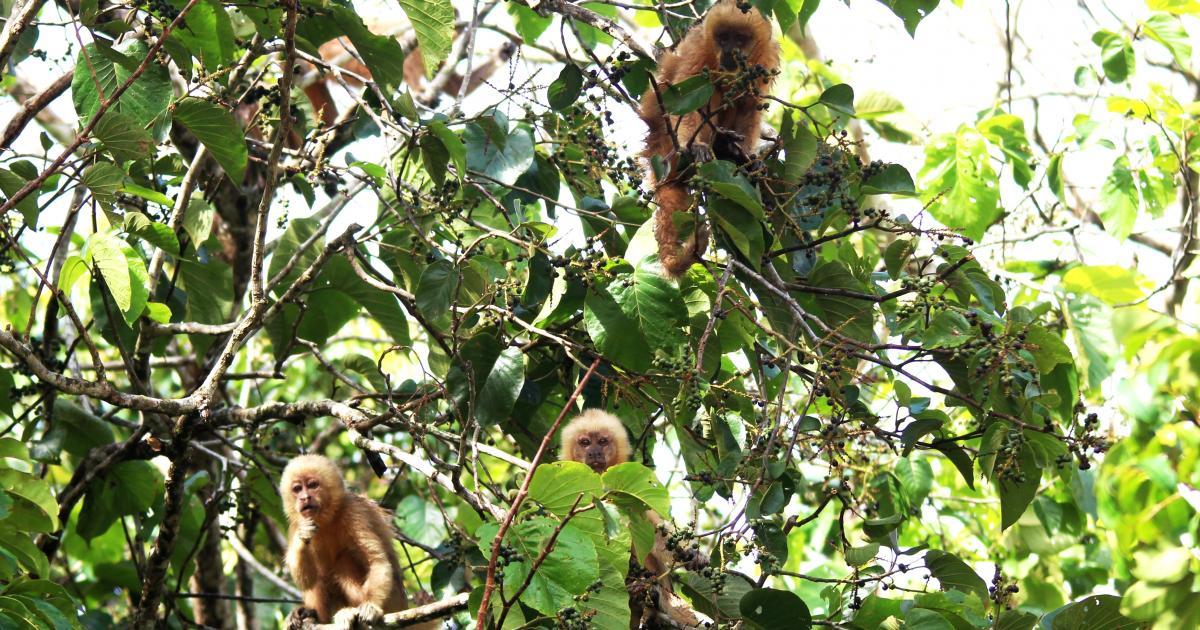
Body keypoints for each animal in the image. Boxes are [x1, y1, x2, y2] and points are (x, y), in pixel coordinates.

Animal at [280, 454, 410, 630]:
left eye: (312, 485)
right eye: (297, 489)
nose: (304, 498)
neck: (327, 519)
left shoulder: (353, 512)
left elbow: (377, 561)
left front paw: (372, 607)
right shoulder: (295, 524)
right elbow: (307, 580)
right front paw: (304, 535)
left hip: (394, 601)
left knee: (344, 560)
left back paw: (349, 612)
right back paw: (312, 616)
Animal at [638, 0, 780, 278]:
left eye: (740, 39)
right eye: (723, 38)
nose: (729, 52)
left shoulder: (764, 60)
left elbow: (750, 108)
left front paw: (749, 159)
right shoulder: (697, 50)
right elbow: (687, 101)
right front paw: (696, 145)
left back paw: (730, 149)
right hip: (667, 143)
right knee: (710, 91)